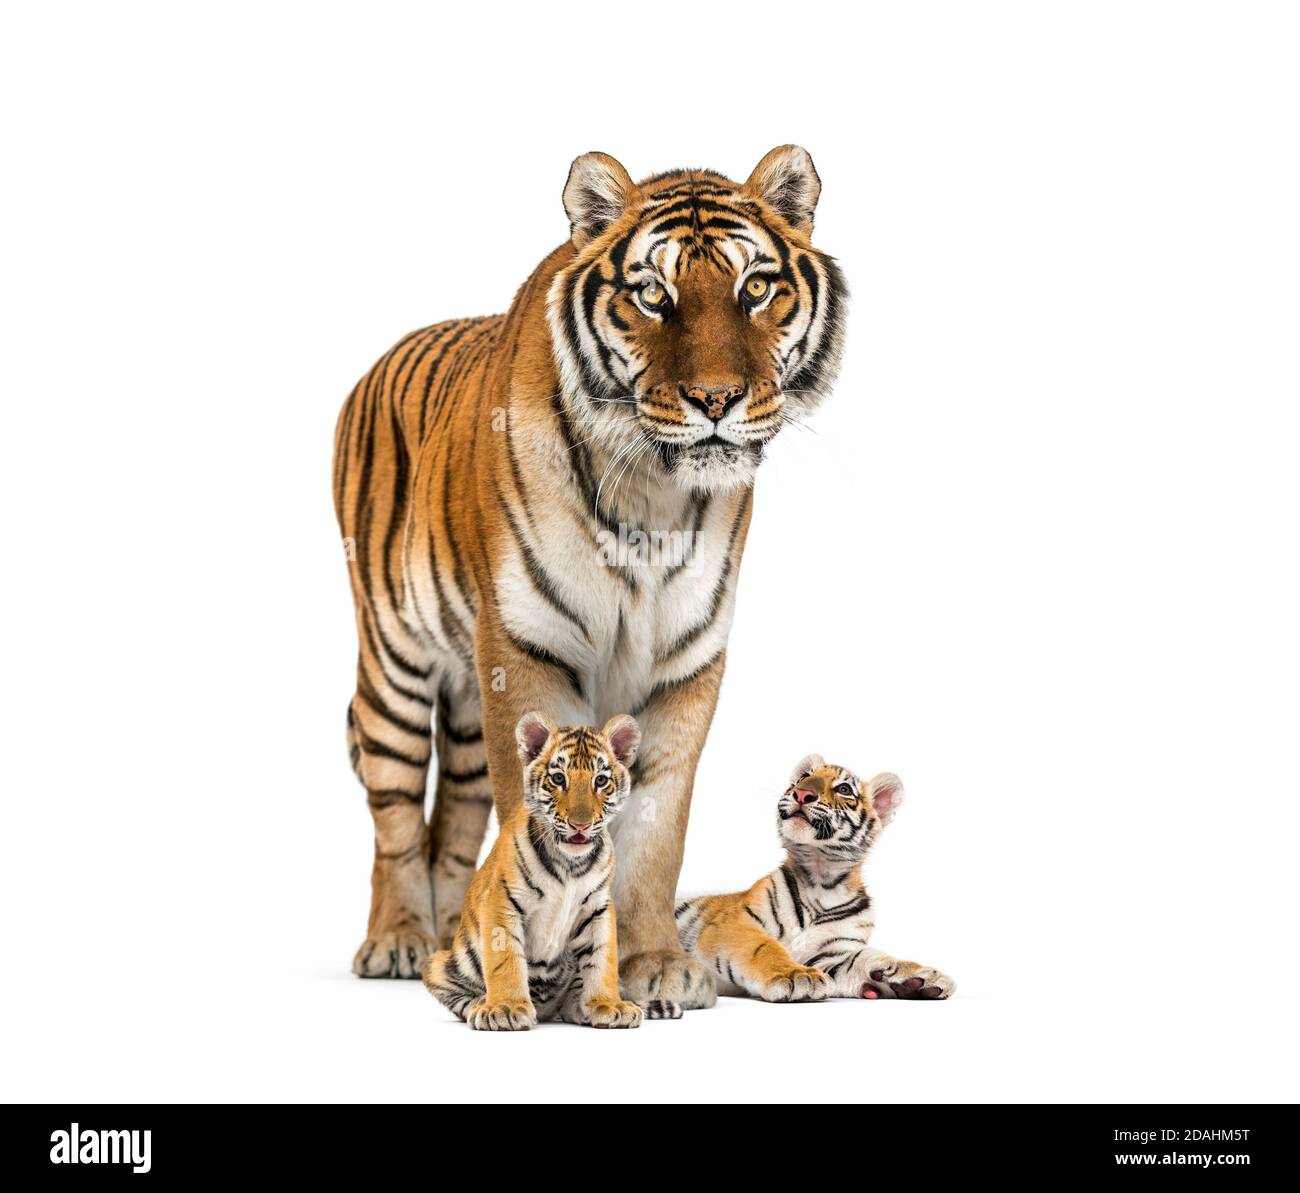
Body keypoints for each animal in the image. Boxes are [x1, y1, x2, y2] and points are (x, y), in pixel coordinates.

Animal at [422, 712, 645, 1030]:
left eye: (601, 781)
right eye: (558, 778)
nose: (580, 825)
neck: (570, 864)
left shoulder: (598, 907)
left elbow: (602, 959)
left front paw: (607, 1005)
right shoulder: (502, 900)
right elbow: (506, 960)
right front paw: (505, 1008)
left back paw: (579, 1008)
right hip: (437, 963)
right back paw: (482, 1005)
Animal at [674, 755, 955, 1001]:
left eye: (843, 789)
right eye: (803, 778)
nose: (801, 794)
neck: (824, 878)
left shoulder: (832, 954)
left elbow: (865, 959)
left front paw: (919, 978)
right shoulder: (735, 922)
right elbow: (764, 947)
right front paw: (795, 976)